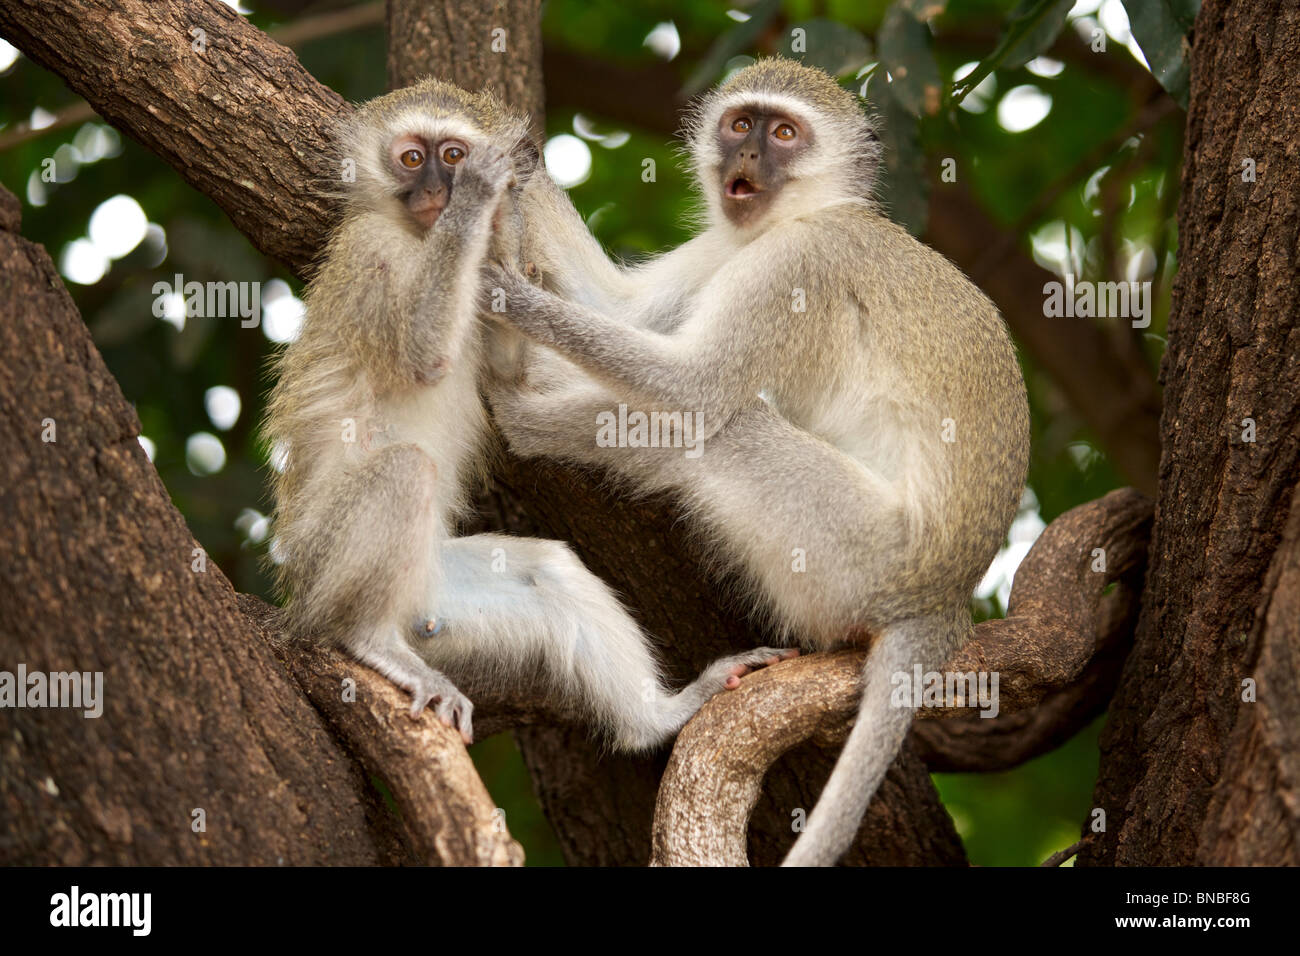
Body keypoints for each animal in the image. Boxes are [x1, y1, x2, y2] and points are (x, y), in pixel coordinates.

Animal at [261, 78, 795, 754]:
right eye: (413, 159)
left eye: (451, 155)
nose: (437, 191)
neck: (424, 243)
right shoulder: (370, 250)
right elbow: (422, 357)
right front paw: (484, 199)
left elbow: (509, 371)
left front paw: (508, 218)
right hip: (324, 562)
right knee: (404, 474)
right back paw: (368, 640)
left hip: (444, 604)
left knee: (550, 568)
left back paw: (657, 718)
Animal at [480, 58, 1031, 865]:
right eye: (741, 123)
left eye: (785, 133)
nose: (745, 155)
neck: (801, 214)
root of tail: (941, 599)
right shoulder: (728, 249)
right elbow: (619, 305)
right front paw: (498, 142)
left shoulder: (797, 267)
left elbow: (693, 388)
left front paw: (502, 296)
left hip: (852, 547)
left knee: (722, 428)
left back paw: (524, 419)